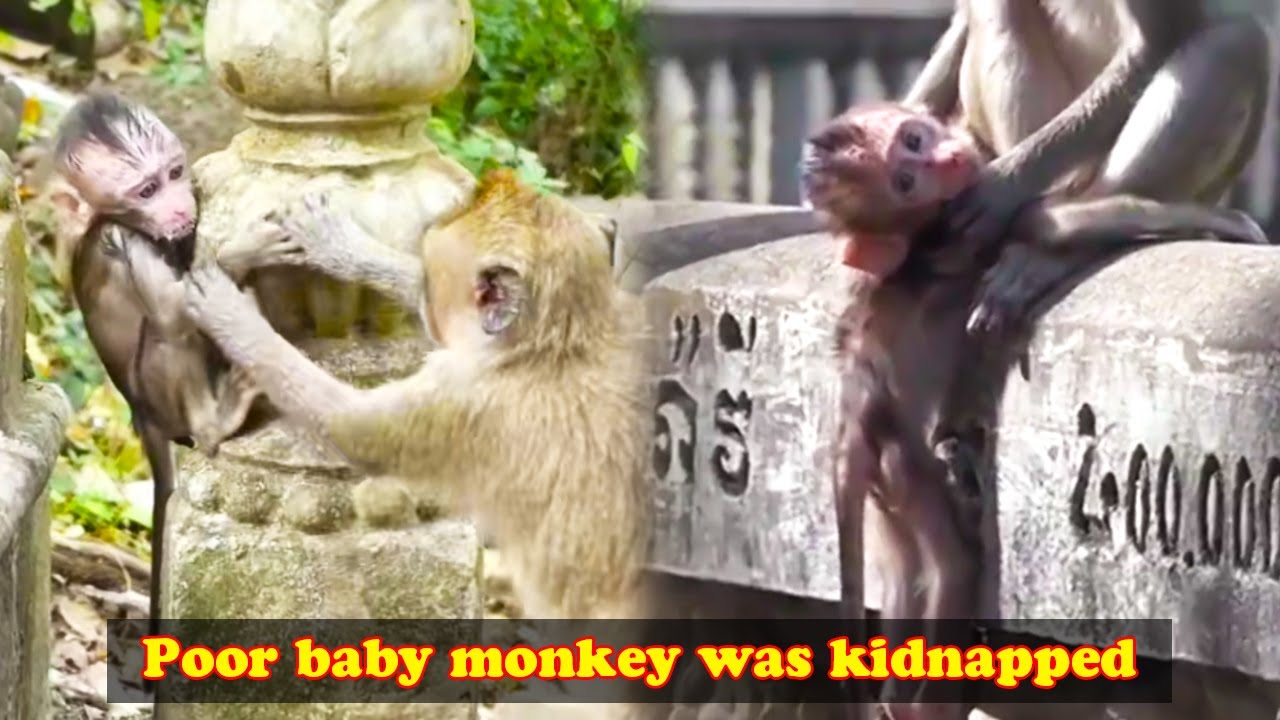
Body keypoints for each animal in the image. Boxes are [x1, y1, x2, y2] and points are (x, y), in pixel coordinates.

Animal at [50, 93, 292, 636]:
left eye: (175, 172)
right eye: (147, 189)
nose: (179, 205)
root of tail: (144, 421)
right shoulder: (122, 239)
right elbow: (174, 309)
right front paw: (247, 247)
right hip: (162, 401)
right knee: (165, 331)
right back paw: (213, 422)